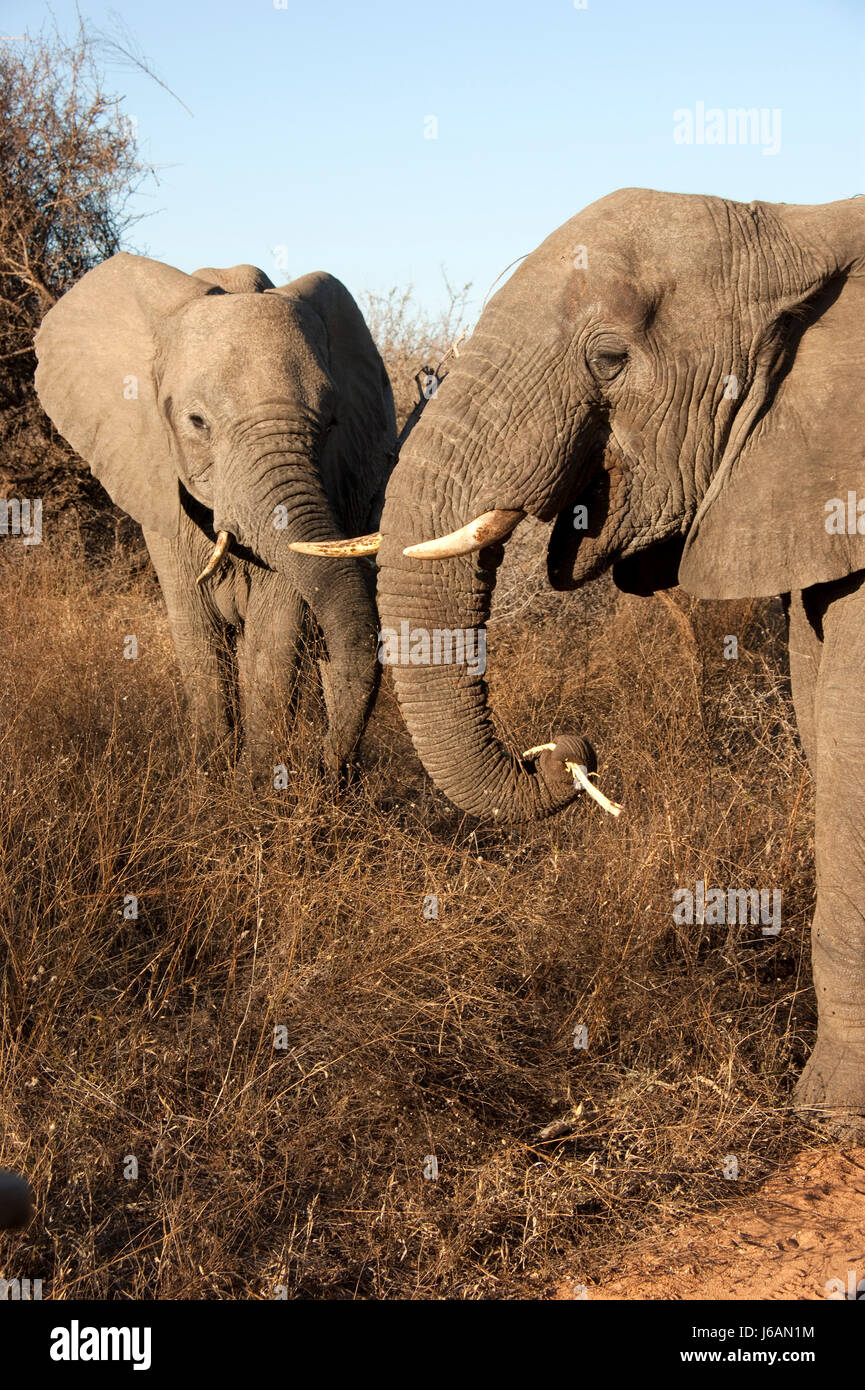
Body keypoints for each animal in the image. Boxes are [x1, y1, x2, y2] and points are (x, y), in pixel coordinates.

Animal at [34, 253, 397, 779]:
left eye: (331, 424)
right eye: (197, 423)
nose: (324, 764)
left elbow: (274, 635)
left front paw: (260, 782)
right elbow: (197, 631)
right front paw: (211, 777)